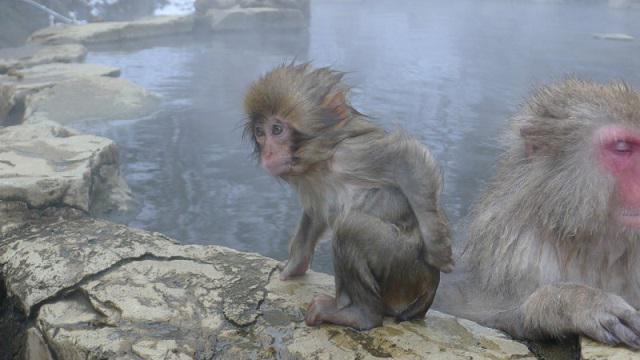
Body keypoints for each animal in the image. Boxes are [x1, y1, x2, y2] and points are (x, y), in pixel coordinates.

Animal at [242, 62, 452, 330]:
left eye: (277, 129)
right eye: (260, 132)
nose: (268, 153)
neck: (320, 164)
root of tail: (429, 289)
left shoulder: (351, 155)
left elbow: (407, 159)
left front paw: (438, 249)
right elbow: (315, 214)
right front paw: (294, 266)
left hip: (406, 271)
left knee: (351, 227)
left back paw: (362, 314)